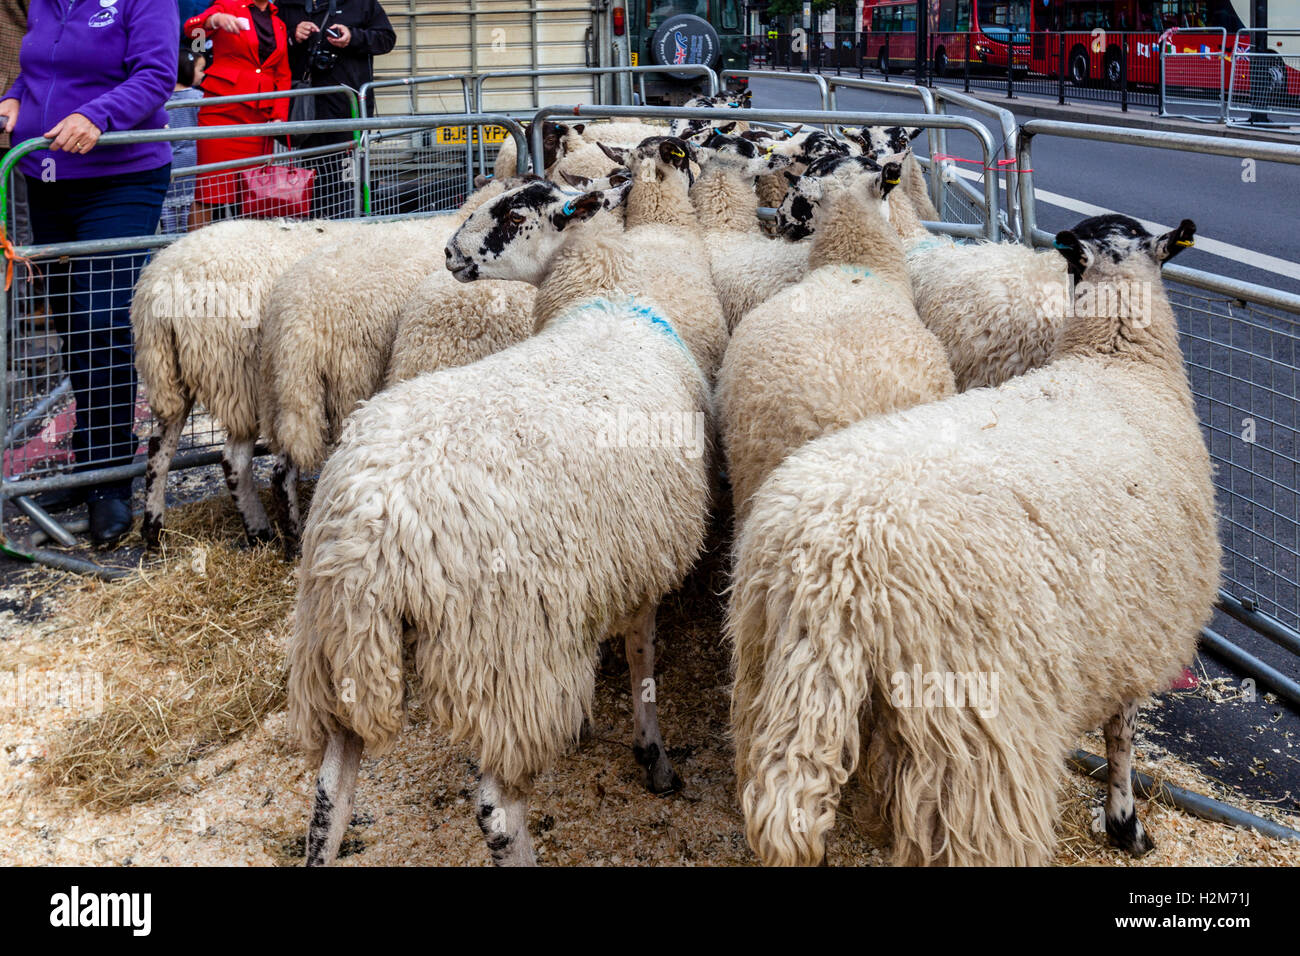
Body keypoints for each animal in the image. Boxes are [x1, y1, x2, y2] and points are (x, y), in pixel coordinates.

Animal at [289, 174, 716, 866]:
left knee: (329, 795)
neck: (603, 302)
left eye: (514, 214)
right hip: (508, 658)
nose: (447, 253)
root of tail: (372, 529)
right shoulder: (641, 565)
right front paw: (653, 754)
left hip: (338, 647)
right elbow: (641, 655)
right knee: (495, 809)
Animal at [729, 214, 1216, 867]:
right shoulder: (1139, 630)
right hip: (974, 733)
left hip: (776, 677)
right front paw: (1127, 827)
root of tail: (834, 566)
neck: (1116, 364)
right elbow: (1122, 738)